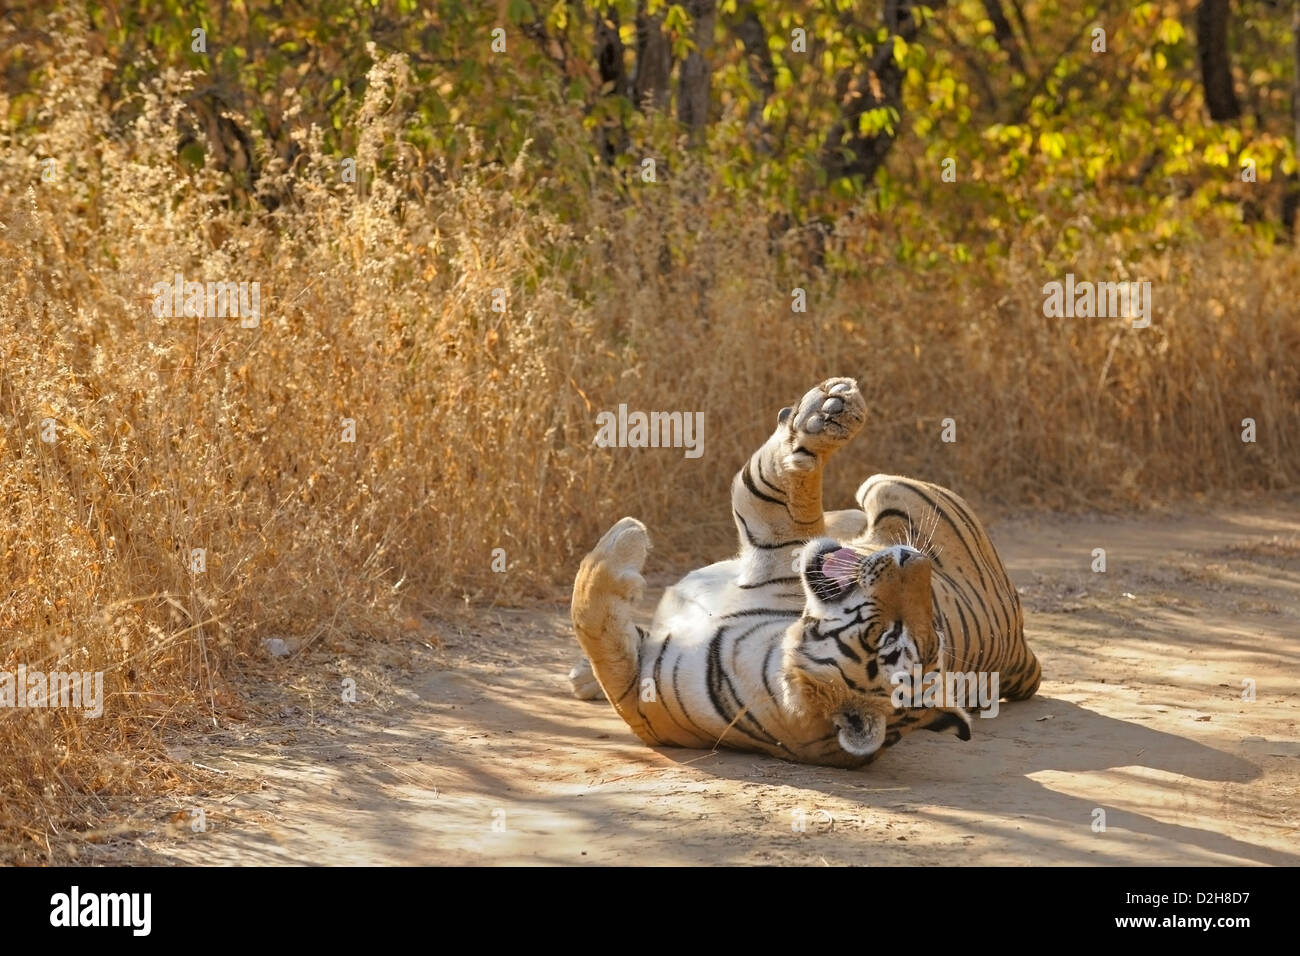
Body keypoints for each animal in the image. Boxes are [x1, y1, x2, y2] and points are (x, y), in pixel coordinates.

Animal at [568, 377, 1042, 768]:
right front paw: (827, 411)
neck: (774, 640)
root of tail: (1020, 649)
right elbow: (788, 480)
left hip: (882, 484)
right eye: (935, 636)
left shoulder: (637, 697)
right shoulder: (783, 546)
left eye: (891, 639)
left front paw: (626, 537)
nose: (915, 559)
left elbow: (592, 619)